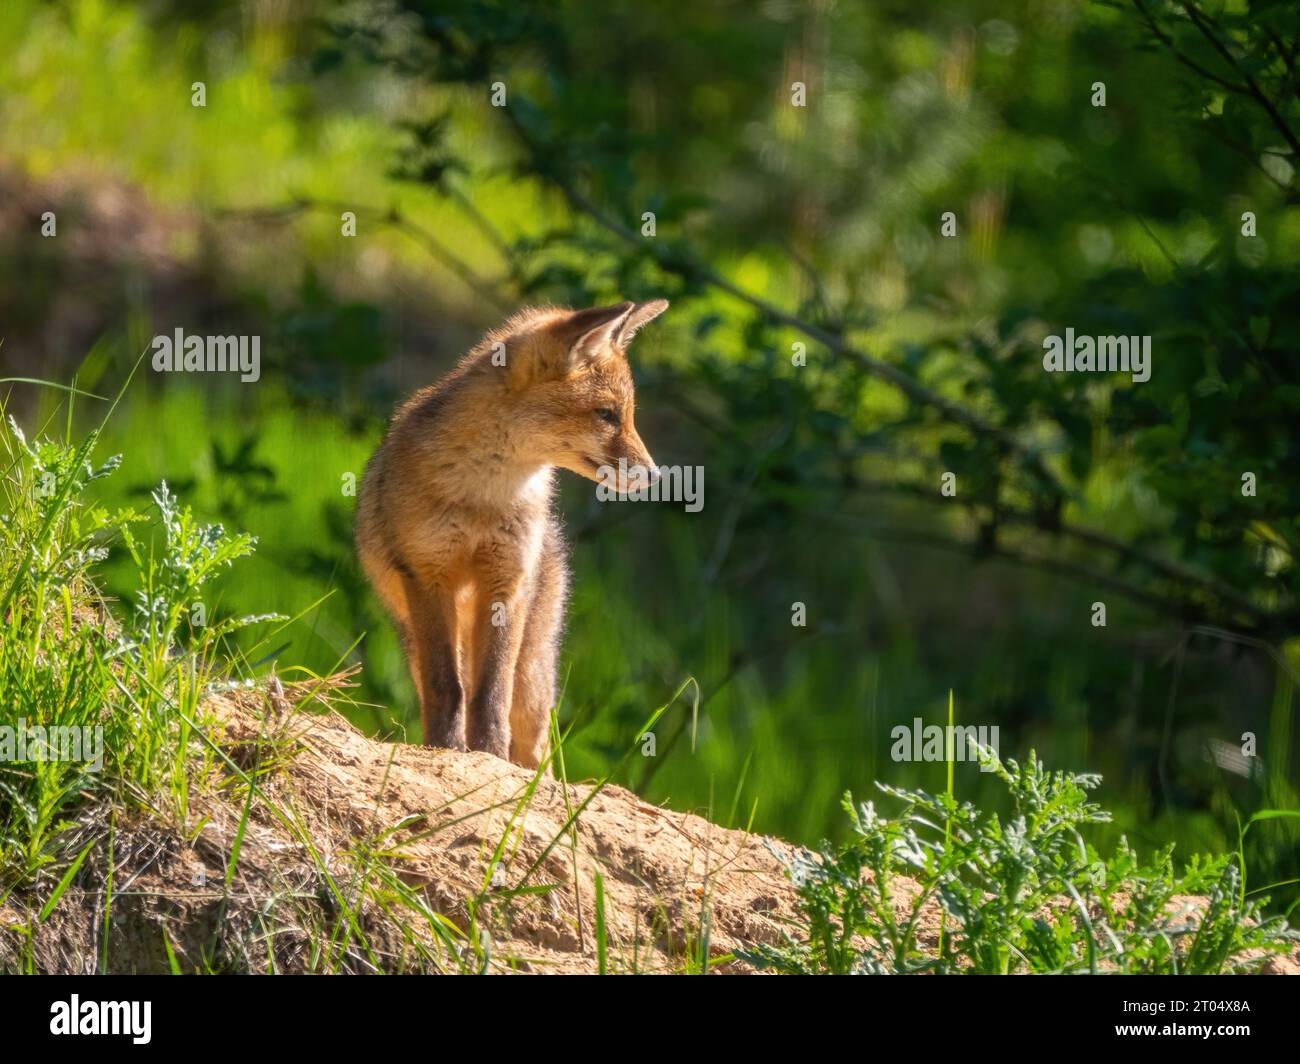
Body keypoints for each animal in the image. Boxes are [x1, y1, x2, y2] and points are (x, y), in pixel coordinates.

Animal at [355, 299, 667, 768]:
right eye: (606, 414)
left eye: (627, 415)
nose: (654, 476)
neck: (484, 497)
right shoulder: (429, 575)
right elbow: (447, 686)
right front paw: (447, 748)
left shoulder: (507, 582)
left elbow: (490, 693)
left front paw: (489, 755)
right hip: (417, 635)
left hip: (533, 672)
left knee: (536, 742)